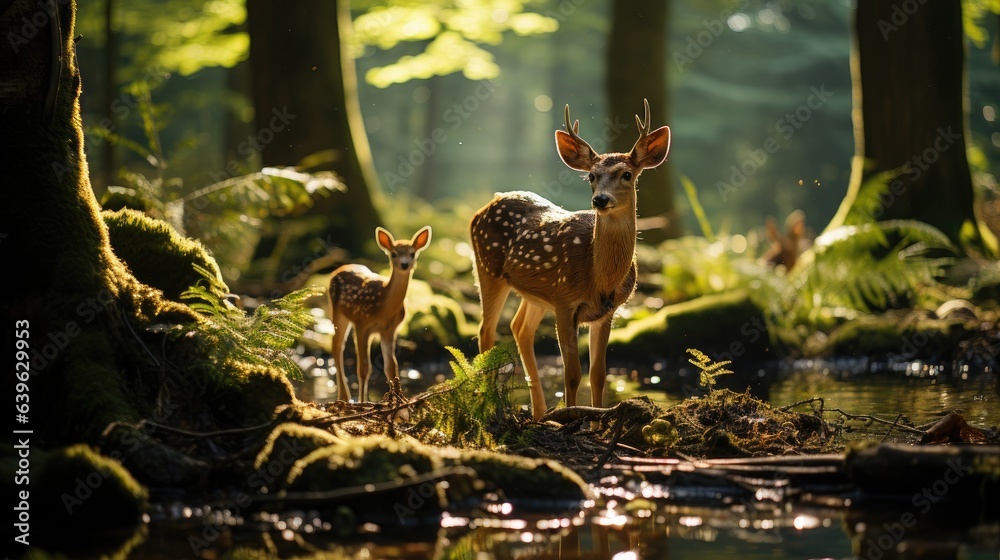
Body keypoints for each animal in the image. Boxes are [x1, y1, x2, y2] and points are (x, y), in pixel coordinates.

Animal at [328, 226, 432, 402]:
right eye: (393, 254)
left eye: (412, 253)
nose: (404, 264)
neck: (384, 307)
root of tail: (338, 269)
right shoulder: (362, 324)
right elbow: (364, 368)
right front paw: (363, 402)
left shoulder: (389, 329)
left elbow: (391, 366)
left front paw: (398, 399)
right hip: (338, 312)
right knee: (337, 347)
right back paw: (344, 398)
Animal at [470, 100, 671, 421]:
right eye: (591, 176)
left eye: (627, 174)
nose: (600, 199)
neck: (599, 277)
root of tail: (485, 205)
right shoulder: (565, 301)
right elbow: (573, 374)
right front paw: (571, 416)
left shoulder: (607, 311)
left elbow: (599, 374)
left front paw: (594, 418)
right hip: (489, 269)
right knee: (486, 333)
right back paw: (492, 411)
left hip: (536, 293)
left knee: (519, 328)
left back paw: (539, 414)